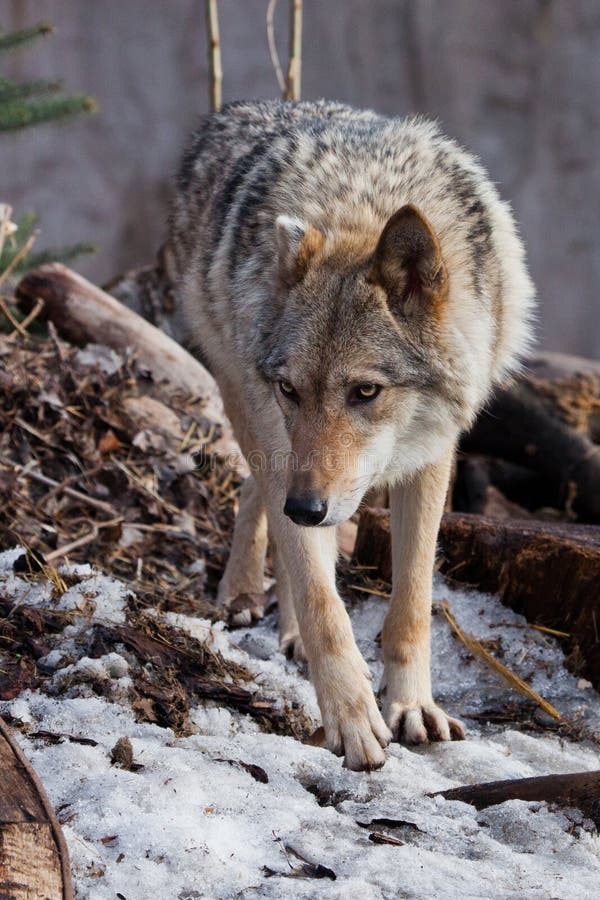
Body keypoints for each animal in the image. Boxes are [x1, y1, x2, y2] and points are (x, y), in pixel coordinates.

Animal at [170, 100, 535, 771]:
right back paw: (241, 592)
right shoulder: (282, 441)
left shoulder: (430, 457)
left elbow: (411, 603)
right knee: (261, 501)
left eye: (366, 391)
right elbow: (324, 604)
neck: (360, 206)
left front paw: (411, 707)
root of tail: (238, 110)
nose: (306, 507)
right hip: (249, 411)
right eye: (291, 388)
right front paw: (352, 719)